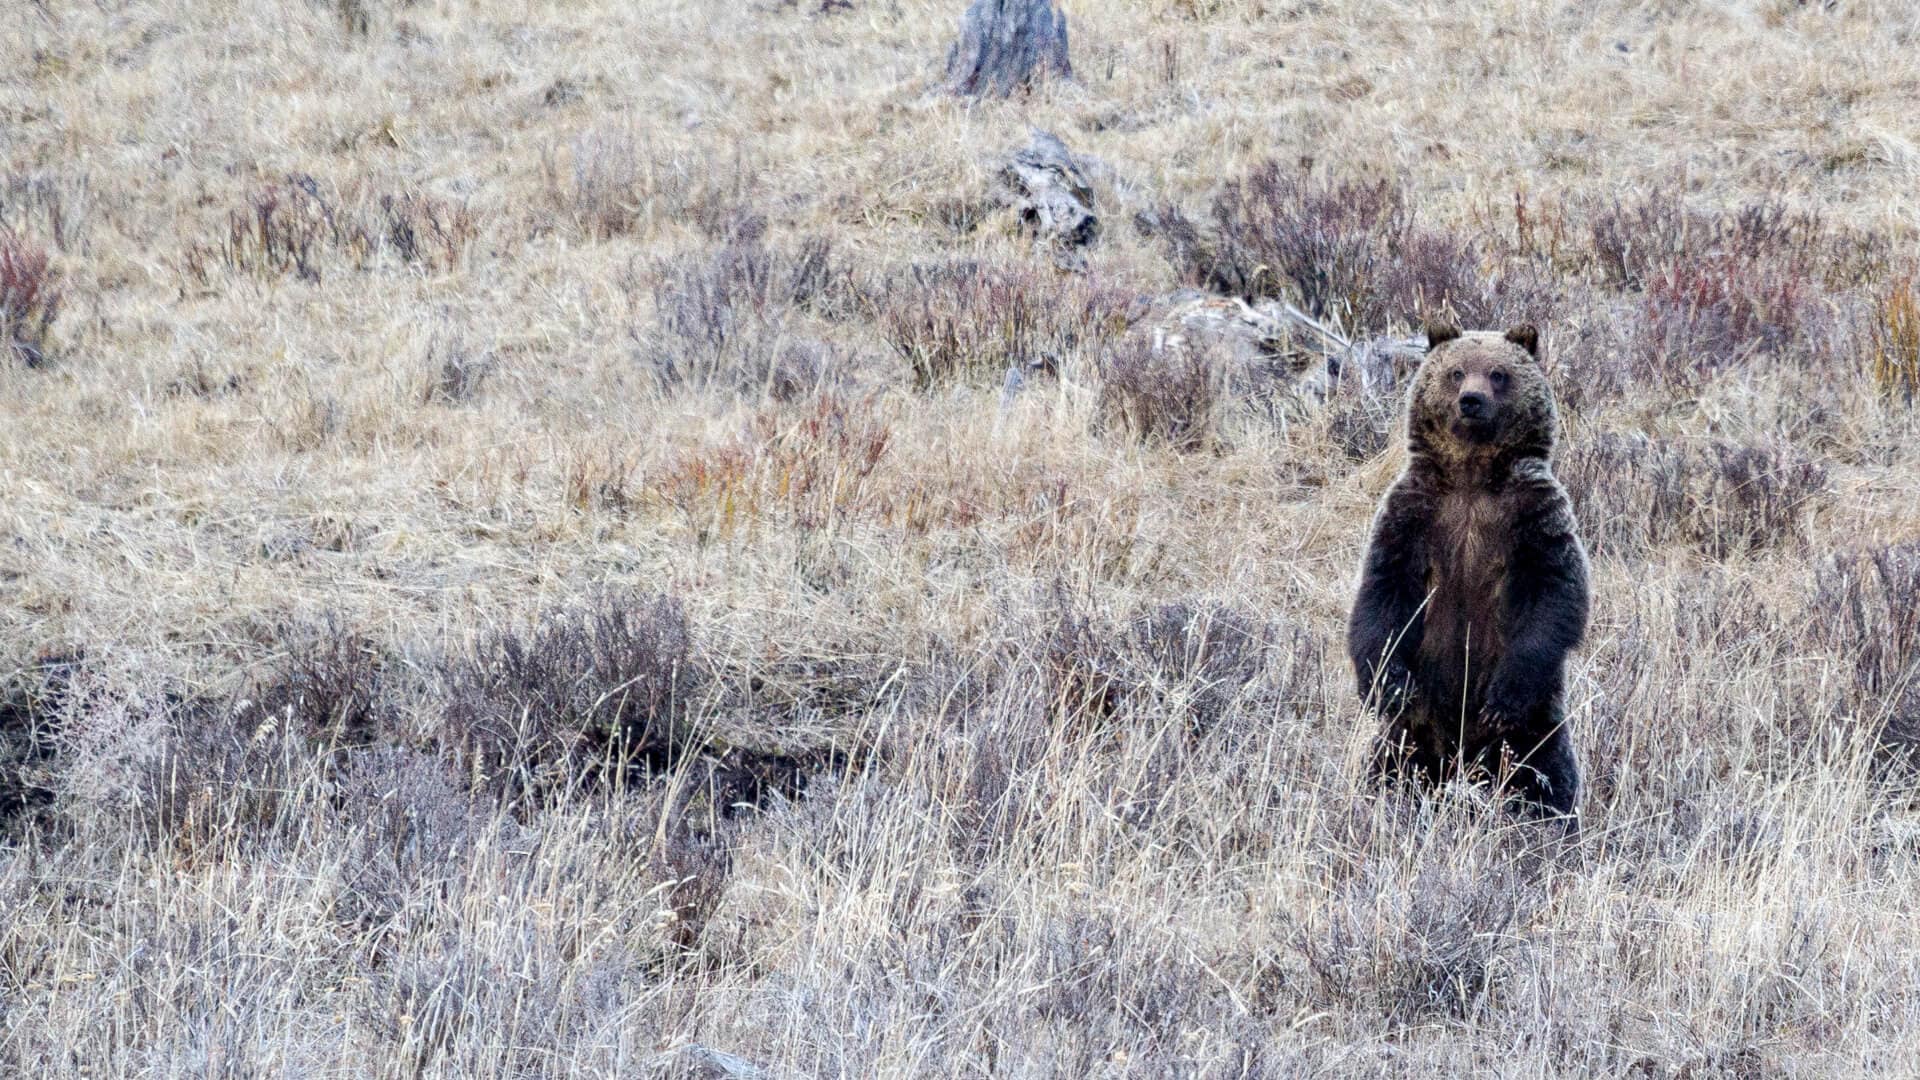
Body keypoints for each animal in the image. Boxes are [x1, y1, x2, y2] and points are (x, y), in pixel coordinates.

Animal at [1346, 324, 1590, 820]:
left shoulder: (1534, 518)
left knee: (1546, 771)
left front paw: (1502, 698)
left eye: (1498, 373)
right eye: (1457, 371)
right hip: (1413, 729)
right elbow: (1383, 594)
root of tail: (1461, 758)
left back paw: (1551, 817)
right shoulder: (1414, 515)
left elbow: (1554, 596)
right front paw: (1386, 682)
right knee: (1390, 764)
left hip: (1537, 724)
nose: (1471, 401)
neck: (1473, 478)